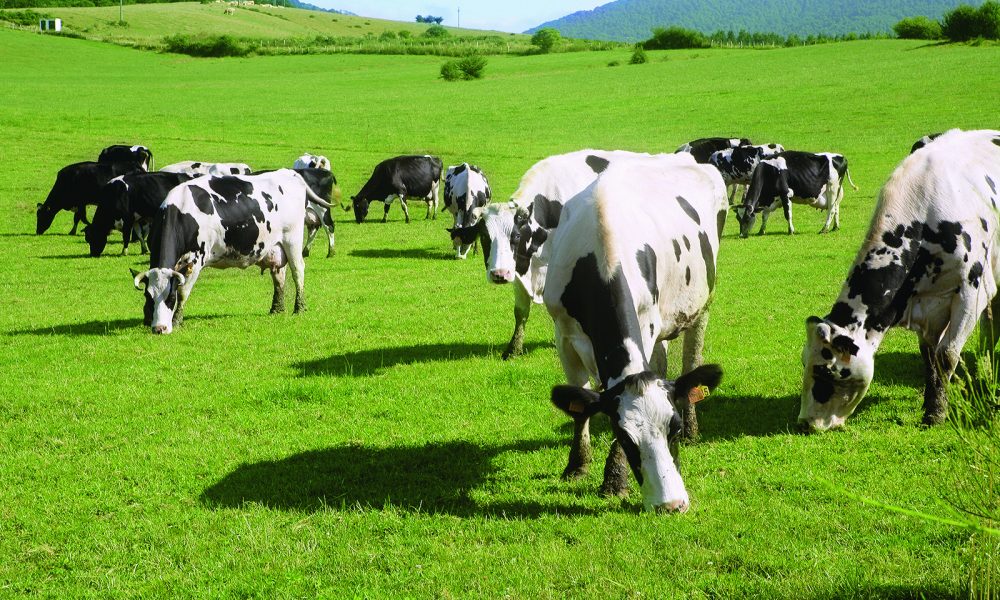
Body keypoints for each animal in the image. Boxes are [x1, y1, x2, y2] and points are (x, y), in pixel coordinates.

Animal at [130, 169, 332, 334]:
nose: (159, 328)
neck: (181, 212)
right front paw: (147, 318)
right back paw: (277, 309)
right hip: (275, 247)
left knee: (298, 271)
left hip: (292, 239)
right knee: (279, 276)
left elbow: (183, 291)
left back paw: (299, 308)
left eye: (170, 297)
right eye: (148, 296)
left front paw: (177, 321)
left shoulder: (196, 260)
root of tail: (290, 172)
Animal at [449, 150, 657, 360]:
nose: (499, 274)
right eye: (484, 236)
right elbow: (520, 312)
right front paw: (513, 349)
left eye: (516, 235)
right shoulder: (519, 268)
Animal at [544, 156, 728, 511]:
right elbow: (579, 405)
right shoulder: (564, 334)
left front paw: (615, 480)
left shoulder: (646, 323)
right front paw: (577, 465)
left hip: (704, 302)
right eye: (626, 436)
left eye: (673, 429)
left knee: (691, 359)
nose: (672, 504)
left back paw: (695, 428)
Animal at [799, 129, 1000, 432]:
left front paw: (937, 413)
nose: (806, 421)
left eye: (825, 372)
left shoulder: (971, 291)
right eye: (804, 364)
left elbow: (947, 354)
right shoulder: (927, 301)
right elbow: (930, 356)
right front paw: (931, 406)